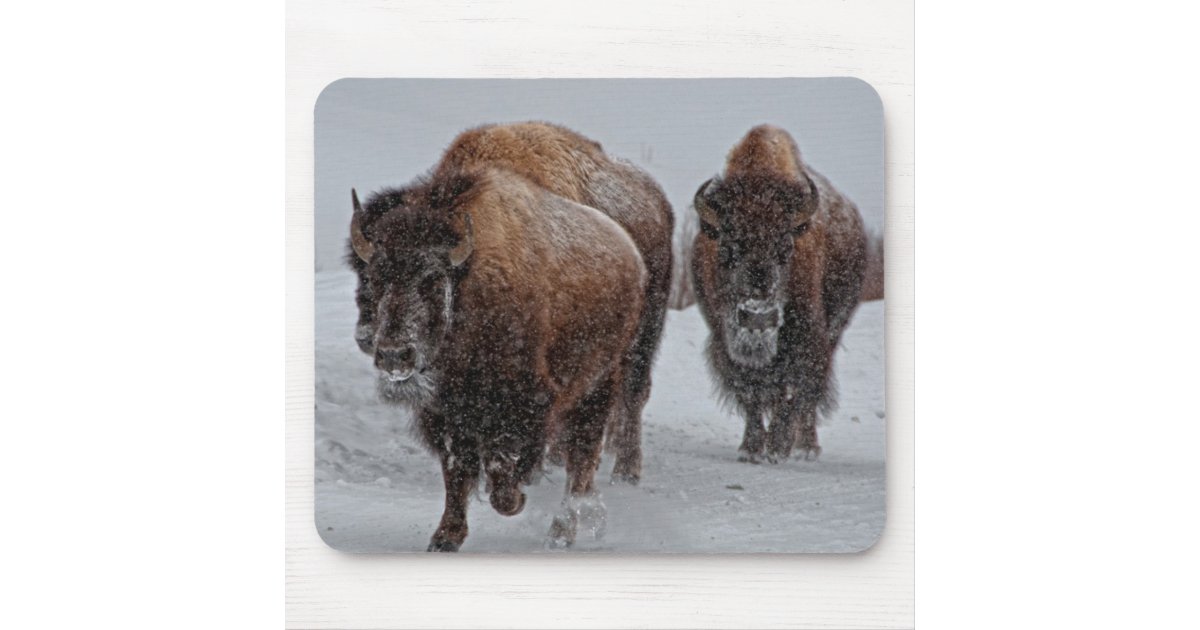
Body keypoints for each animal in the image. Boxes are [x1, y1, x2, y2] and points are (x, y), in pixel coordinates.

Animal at [691, 125, 870, 463]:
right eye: (727, 248)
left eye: (786, 248)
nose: (757, 318)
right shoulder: (724, 339)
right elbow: (750, 391)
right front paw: (750, 449)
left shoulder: (807, 338)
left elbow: (793, 391)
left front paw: (776, 448)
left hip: (834, 329)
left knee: (807, 396)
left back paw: (806, 447)